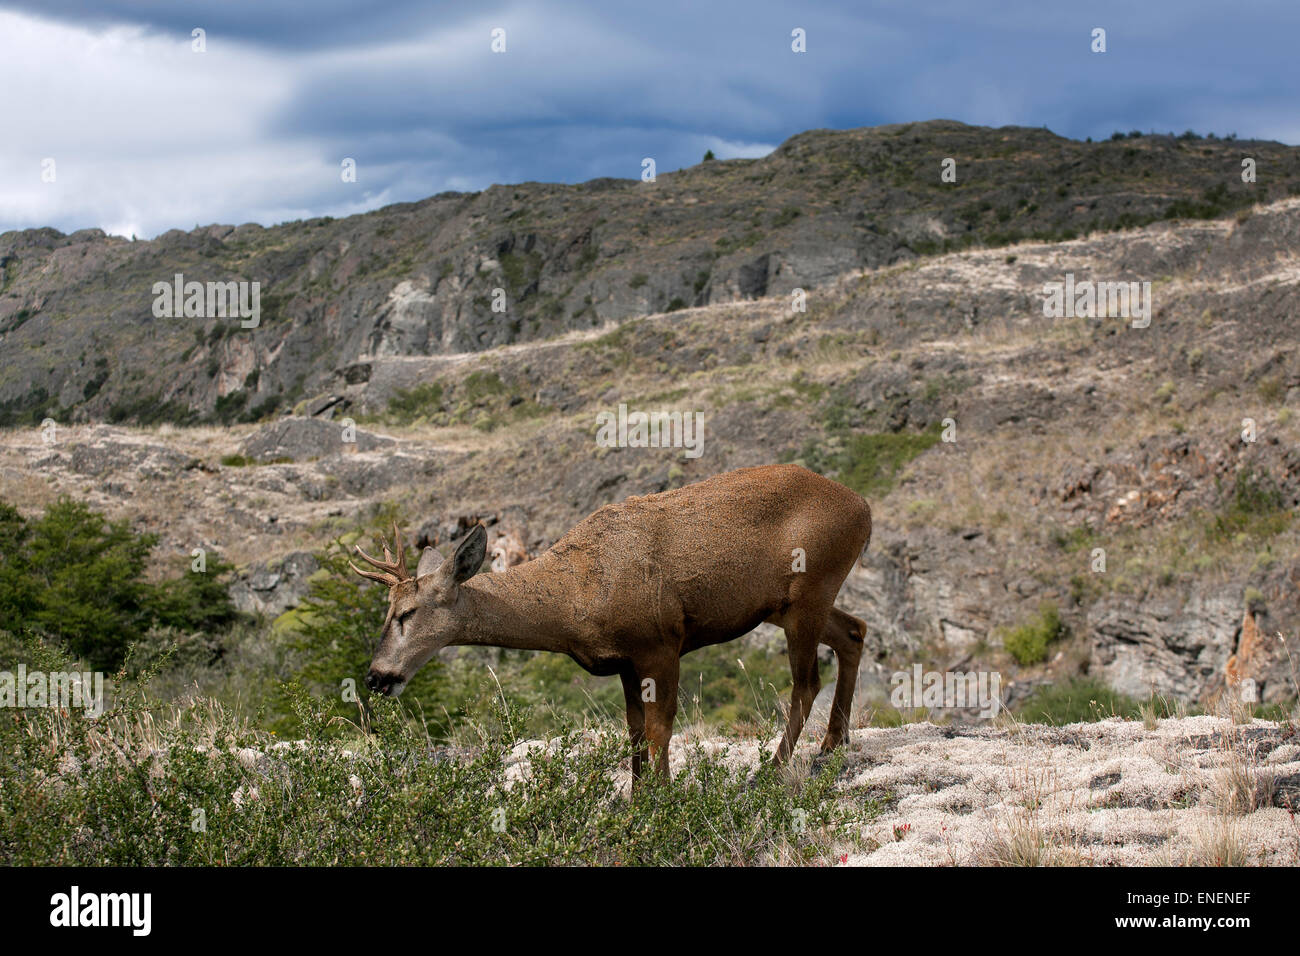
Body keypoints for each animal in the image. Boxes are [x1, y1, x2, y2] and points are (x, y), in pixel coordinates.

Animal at [351, 463, 873, 779]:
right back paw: (832, 745)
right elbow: (635, 732)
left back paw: (772, 769)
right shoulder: (624, 660)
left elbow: (661, 727)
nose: (375, 677)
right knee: (854, 631)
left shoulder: (661, 641)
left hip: (809, 590)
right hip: (790, 604)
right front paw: (638, 804)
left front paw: (665, 800)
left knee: (806, 680)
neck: (574, 600)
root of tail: (864, 507)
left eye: (407, 613)